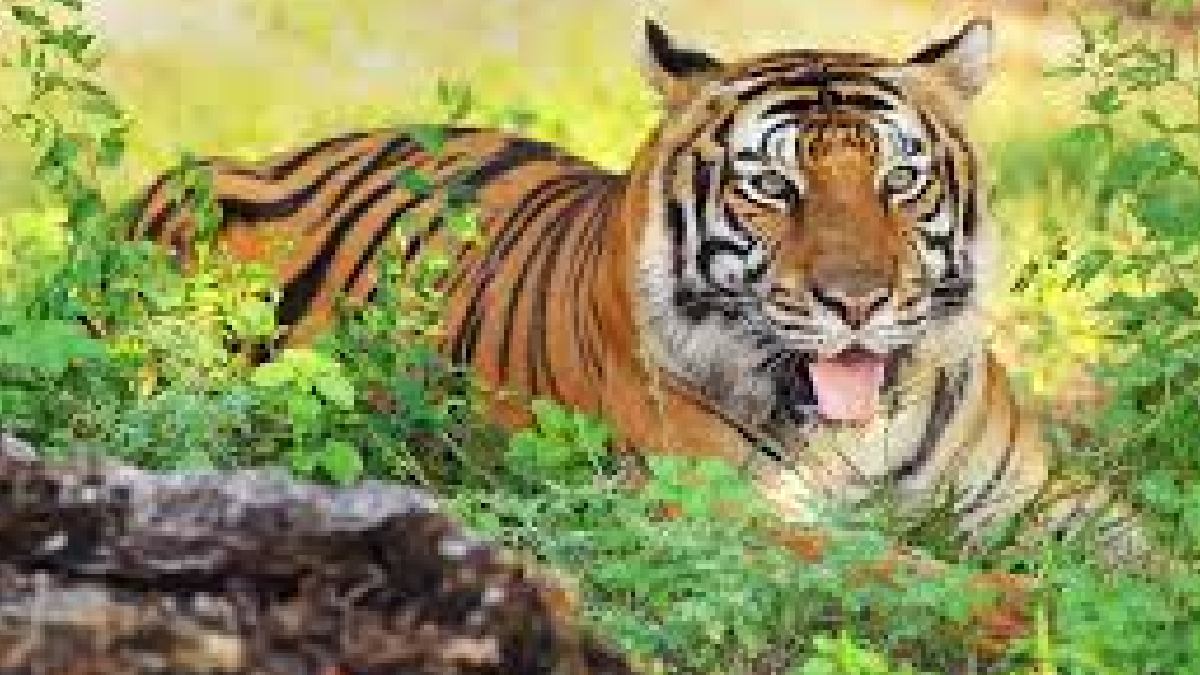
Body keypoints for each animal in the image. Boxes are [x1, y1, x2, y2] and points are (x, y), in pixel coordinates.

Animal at [130, 17, 1145, 563]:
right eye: (772, 186)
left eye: (900, 180)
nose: (855, 301)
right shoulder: (729, 515)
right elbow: (919, 573)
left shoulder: (1045, 498)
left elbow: (1155, 558)